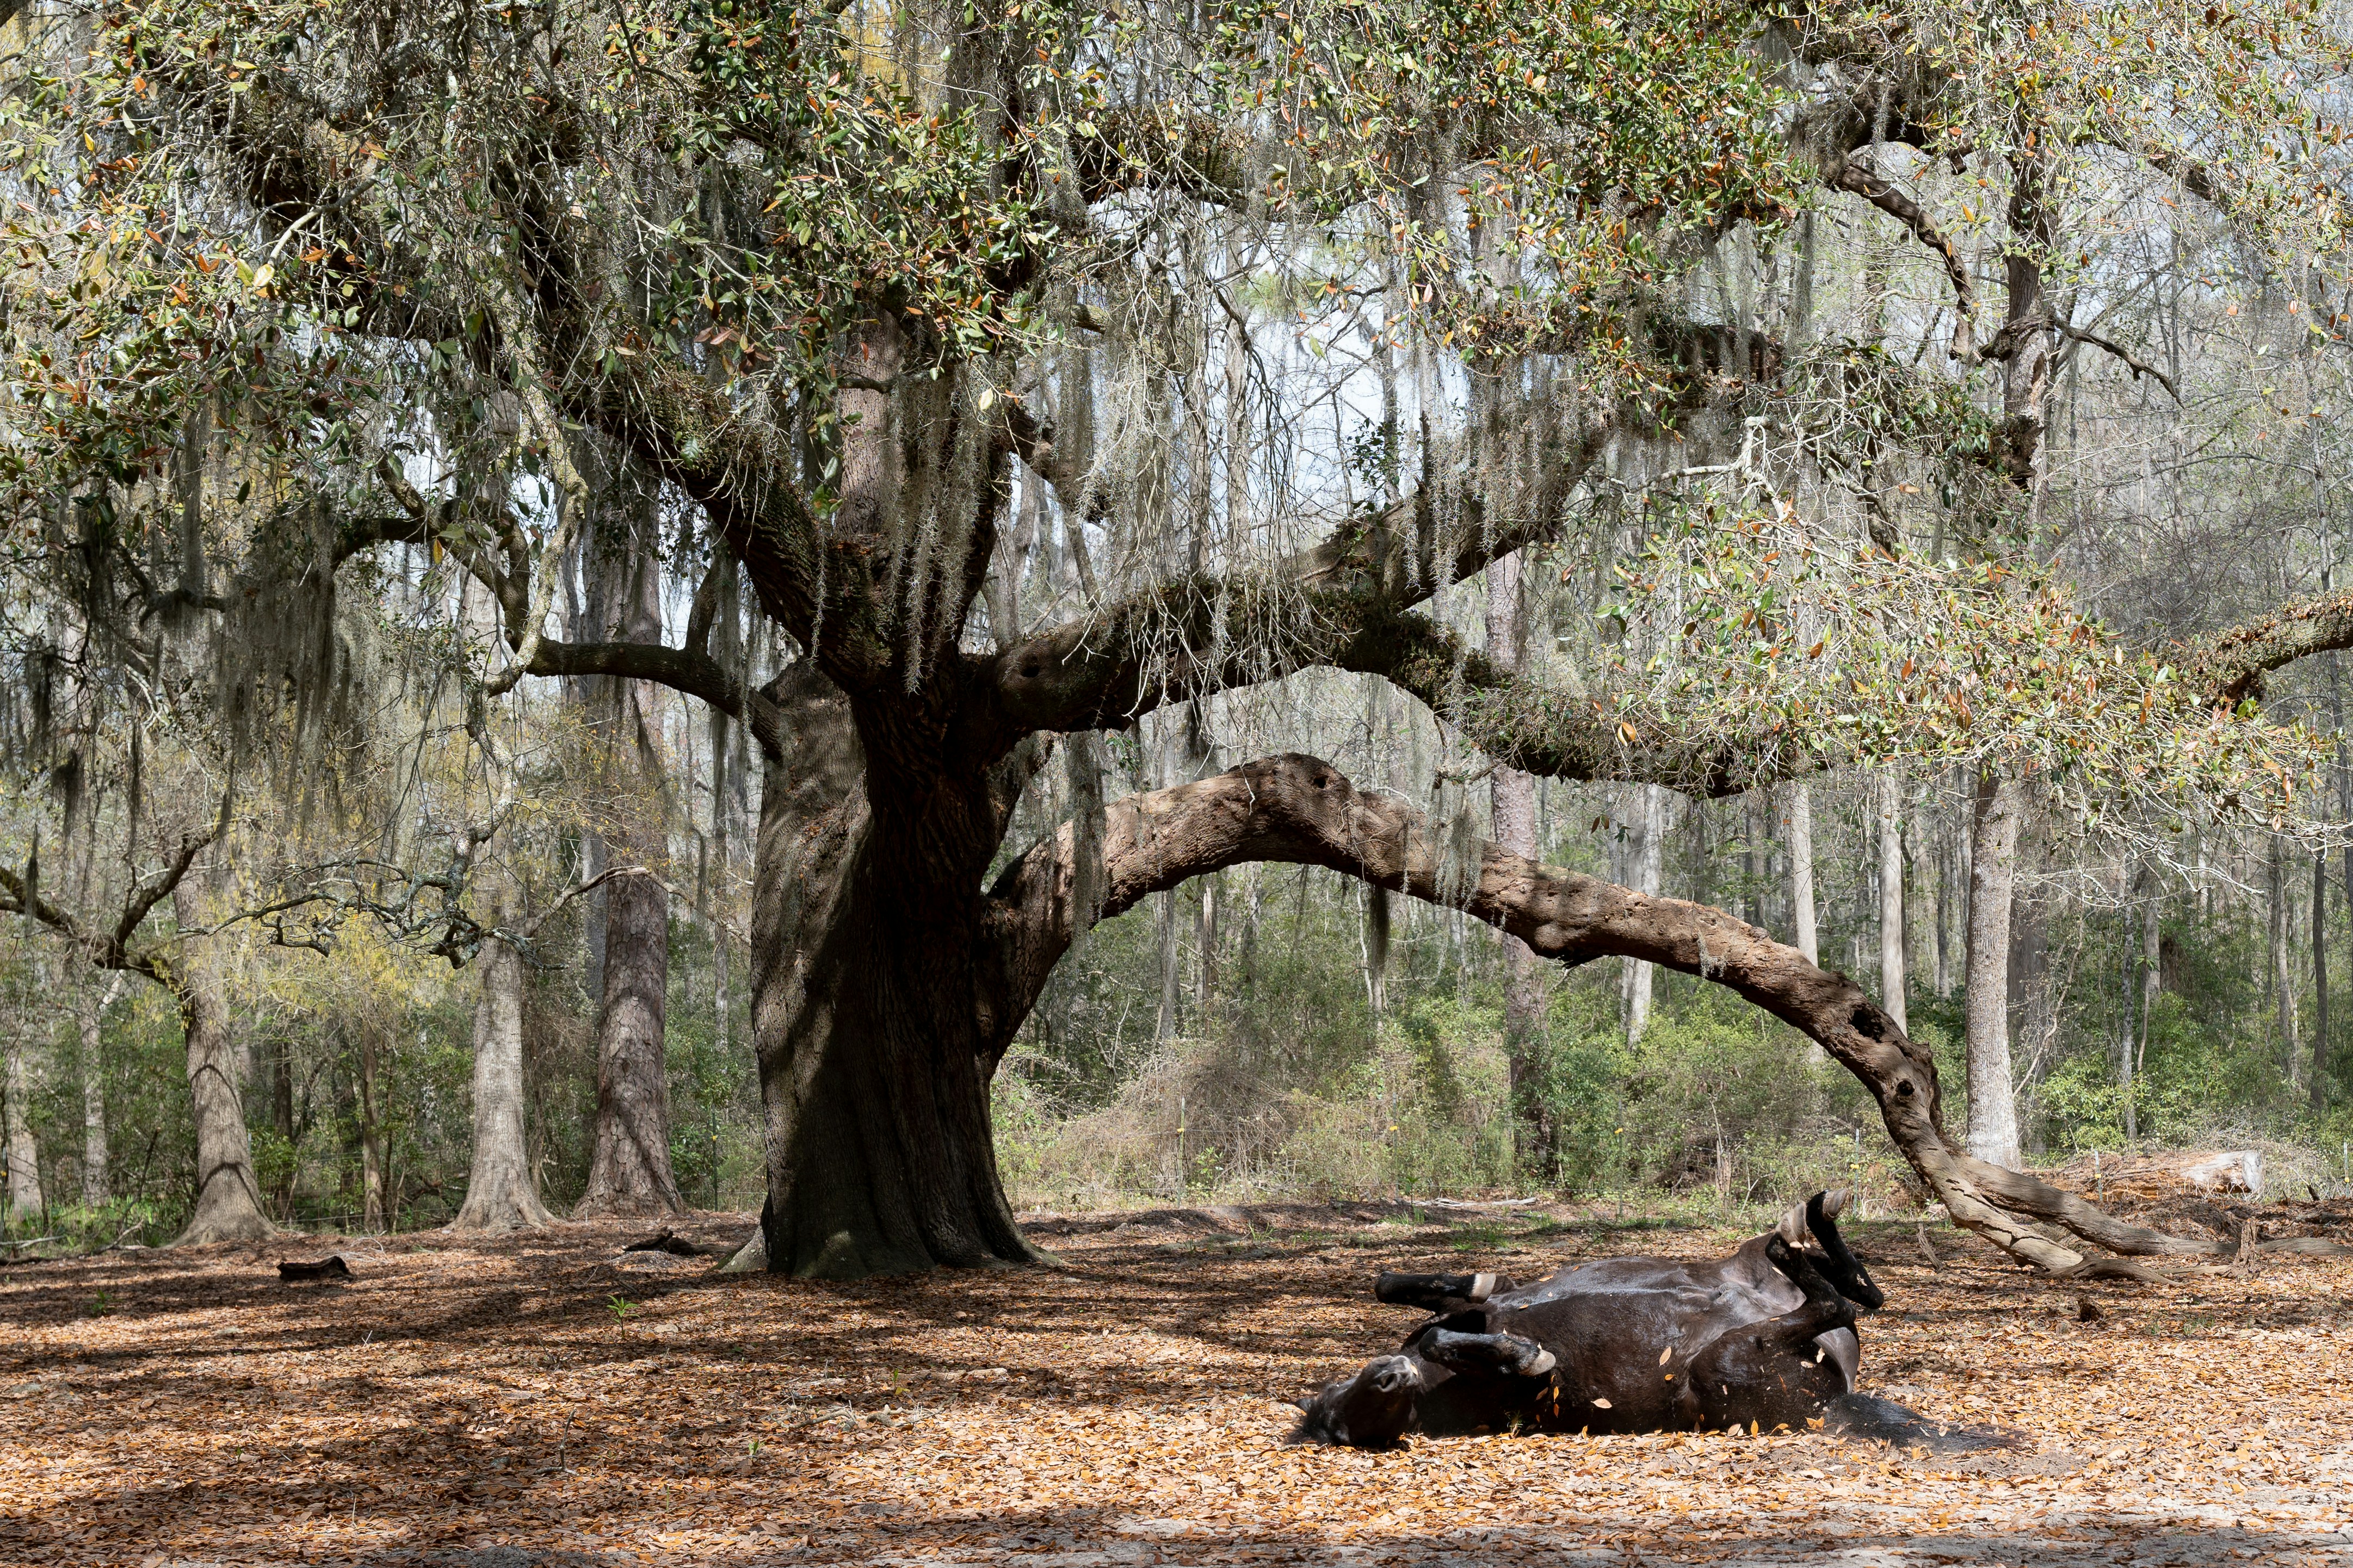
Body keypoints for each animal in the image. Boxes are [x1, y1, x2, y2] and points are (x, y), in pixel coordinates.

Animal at [1292, 1191, 2008, 1452]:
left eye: (1334, 1395)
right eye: (1342, 1428)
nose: (1389, 1376)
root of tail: (1836, 1403)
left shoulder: (1464, 1313)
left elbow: (1417, 1294)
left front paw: (1477, 1291)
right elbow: (1465, 1339)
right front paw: (1526, 1354)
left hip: (1751, 1271)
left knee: (1859, 1291)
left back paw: (1811, 1219)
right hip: (1724, 1361)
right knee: (1834, 1303)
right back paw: (1800, 1236)